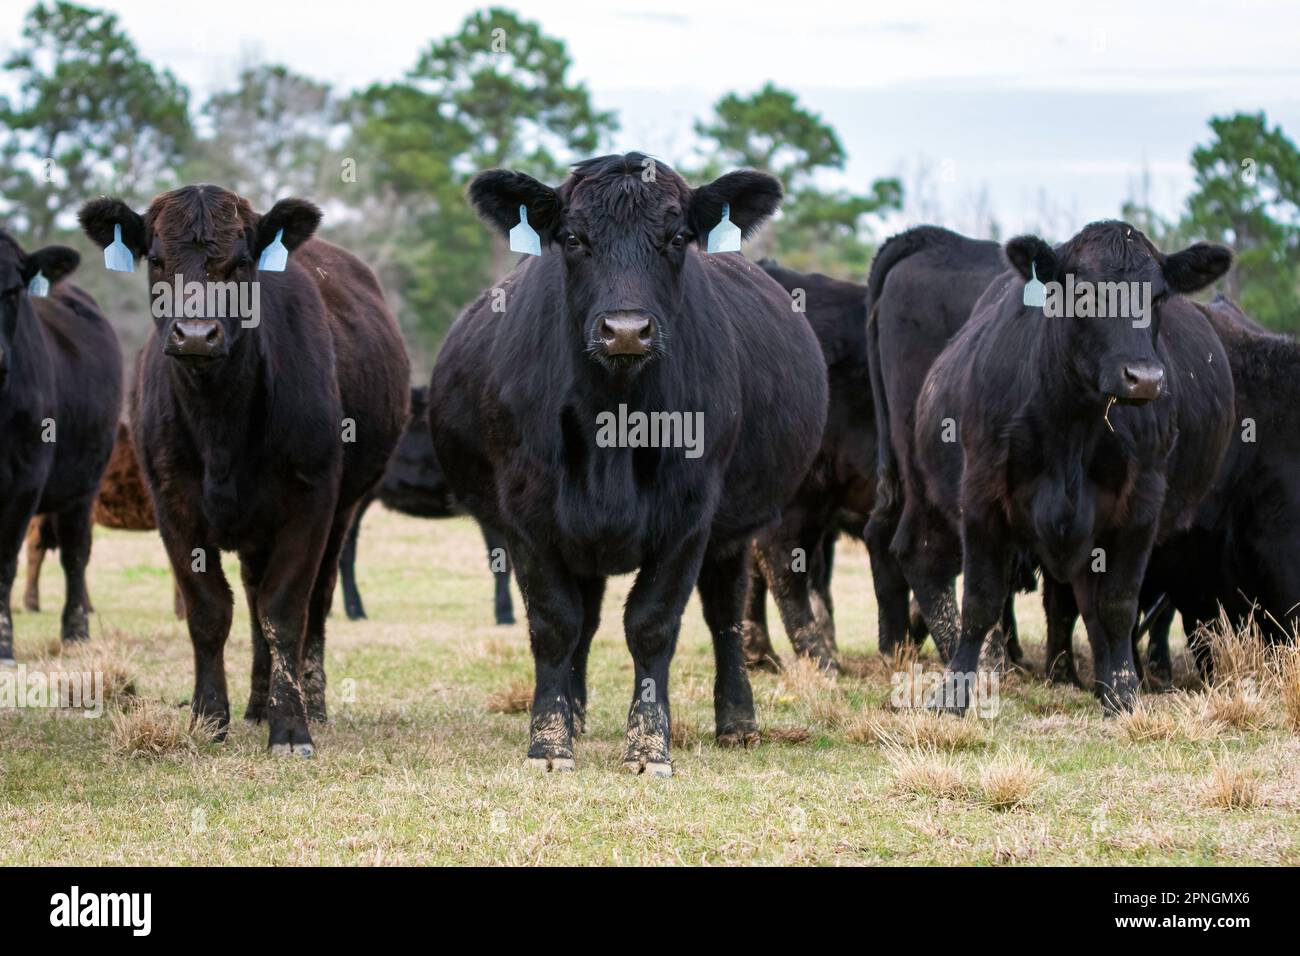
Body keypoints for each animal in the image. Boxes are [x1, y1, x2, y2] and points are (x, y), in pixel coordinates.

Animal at [0, 231, 122, 664]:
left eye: (12, 291)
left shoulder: (25, 480)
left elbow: (5, 560)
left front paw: (3, 643)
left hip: (84, 488)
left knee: (75, 554)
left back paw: (76, 631)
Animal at [79, 186, 409, 755]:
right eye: (157, 260)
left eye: (239, 263)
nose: (195, 335)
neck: (220, 428)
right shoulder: (172, 506)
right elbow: (210, 611)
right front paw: (210, 717)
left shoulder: (312, 502)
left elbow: (286, 612)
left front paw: (292, 727)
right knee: (253, 598)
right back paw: (257, 704)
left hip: (343, 510)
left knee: (313, 602)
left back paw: (309, 703)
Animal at [429, 153, 828, 775]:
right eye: (573, 238)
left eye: (678, 238)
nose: (624, 331)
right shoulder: (527, 517)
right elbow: (556, 624)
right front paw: (549, 741)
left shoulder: (690, 518)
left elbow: (652, 626)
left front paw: (648, 746)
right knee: (587, 619)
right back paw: (575, 713)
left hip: (732, 533)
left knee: (725, 613)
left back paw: (738, 721)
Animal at [904, 221, 1233, 713]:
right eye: (1085, 293)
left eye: (1157, 297)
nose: (1144, 378)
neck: (1072, 425)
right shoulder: (980, 496)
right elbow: (980, 601)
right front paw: (954, 694)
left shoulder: (1141, 506)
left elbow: (1117, 605)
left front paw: (1123, 694)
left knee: (1090, 606)